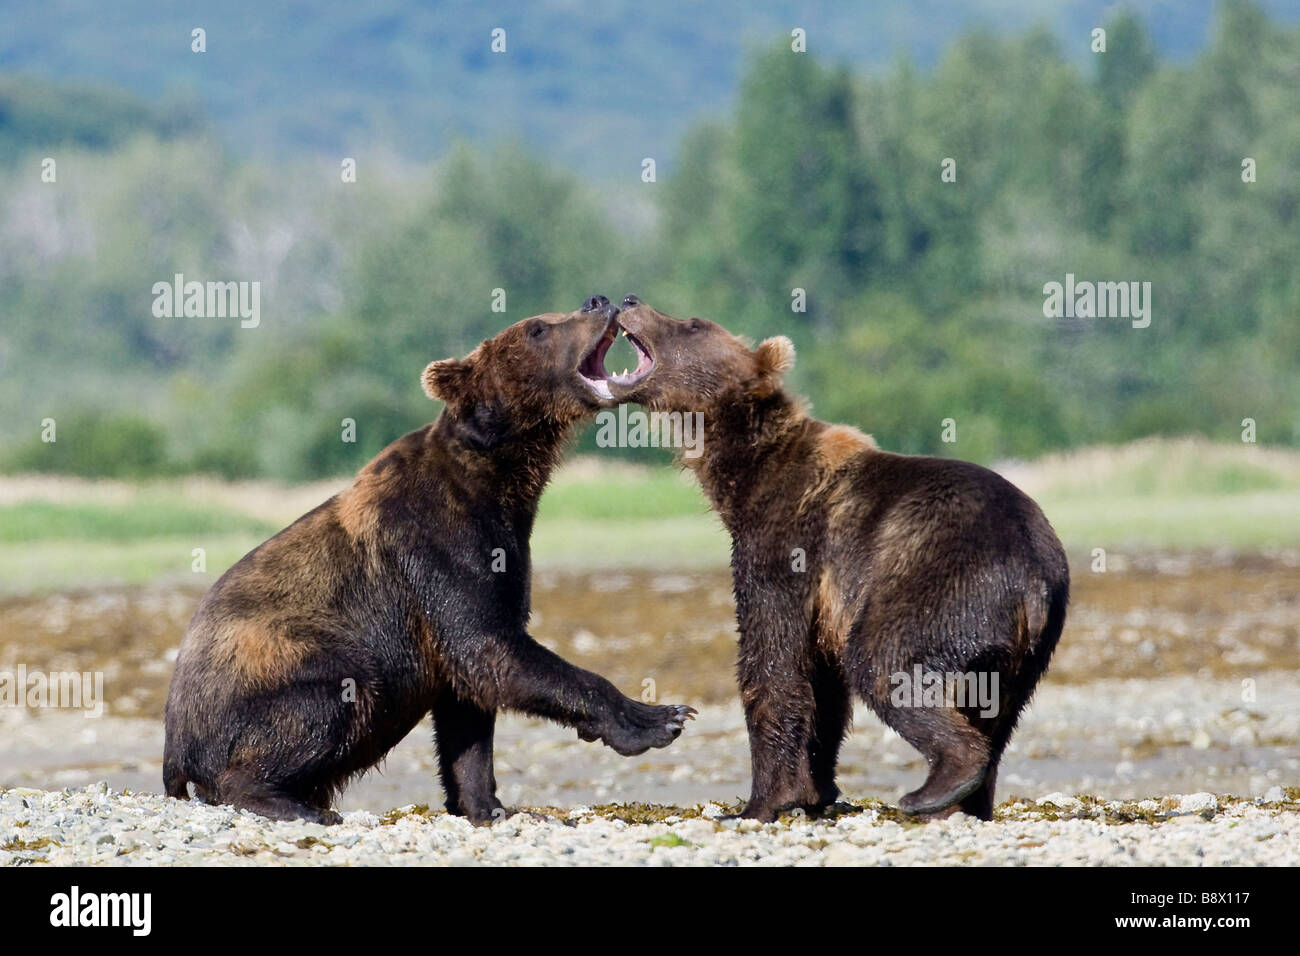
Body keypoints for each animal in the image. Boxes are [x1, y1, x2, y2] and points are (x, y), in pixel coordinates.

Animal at [163, 295, 694, 824]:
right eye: (538, 328)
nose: (598, 301)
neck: (499, 475)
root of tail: (175, 744)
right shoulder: (437, 546)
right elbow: (488, 645)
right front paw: (660, 718)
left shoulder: (501, 553)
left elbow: (469, 704)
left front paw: (487, 805)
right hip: (276, 670)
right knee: (334, 696)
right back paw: (294, 804)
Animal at [608, 295, 1068, 822]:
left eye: (691, 324)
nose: (629, 301)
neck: (746, 472)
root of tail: (1034, 574)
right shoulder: (823, 595)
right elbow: (823, 685)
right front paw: (816, 788)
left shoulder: (786, 545)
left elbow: (775, 660)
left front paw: (759, 802)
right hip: (1028, 647)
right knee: (996, 709)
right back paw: (966, 801)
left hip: (941, 580)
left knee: (884, 662)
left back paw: (935, 787)